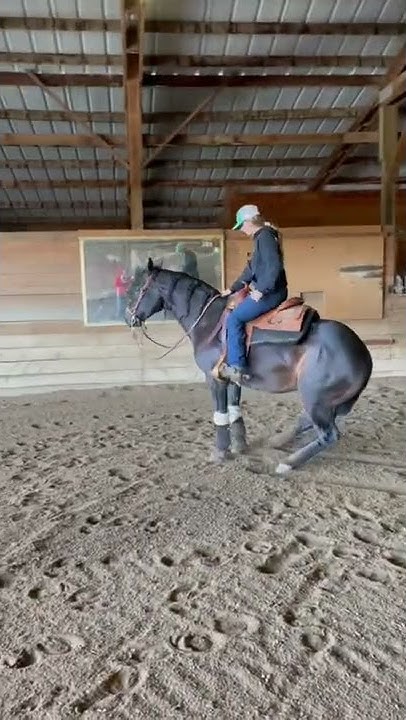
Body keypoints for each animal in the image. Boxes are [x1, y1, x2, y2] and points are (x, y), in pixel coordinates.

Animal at [125, 259, 373, 474]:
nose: (129, 317)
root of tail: (363, 355)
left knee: (328, 435)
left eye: (140, 289)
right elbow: (234, 411)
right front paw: (240, 446)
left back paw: (287, 463)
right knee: (307, 422)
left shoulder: (214, 379)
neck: (210, 322)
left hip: (315, 398)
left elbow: (221, 414)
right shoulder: (233, 378)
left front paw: (220, 452)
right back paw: (278, 440)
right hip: (323, 401)